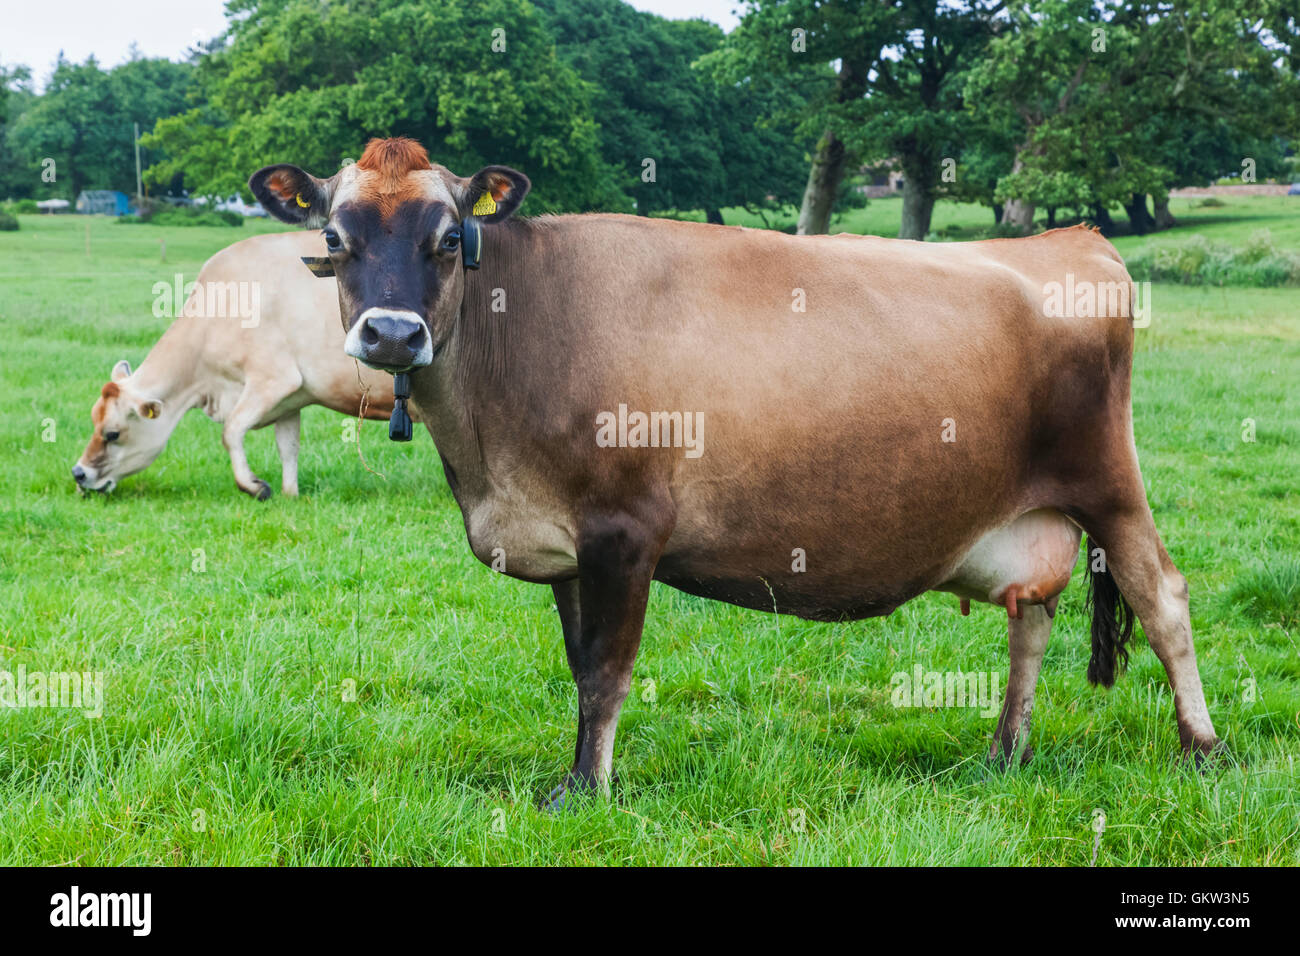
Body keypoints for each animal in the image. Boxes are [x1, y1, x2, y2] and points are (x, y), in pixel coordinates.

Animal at [74, 231, 399, 498]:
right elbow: (288, 447)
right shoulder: (292, 399)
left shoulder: (273, 380)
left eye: (112, 433)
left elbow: (231, 431)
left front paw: (253, 486)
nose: (78, 473)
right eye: (93, 420)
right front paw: (290, 494)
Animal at [251, 137, 1221, 807]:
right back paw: (1004, 754)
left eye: (449, 237)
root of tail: (1073, 240)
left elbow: (606, 669)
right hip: (1030, 511)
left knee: (1162, 598)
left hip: (1110, 482)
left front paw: (588, 792)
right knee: (1032, 614)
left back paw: (1201, 747)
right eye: (334, 234)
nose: (392, 333)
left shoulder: (625, 529)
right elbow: (577, 662)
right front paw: (575, 778)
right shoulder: (560, 539)